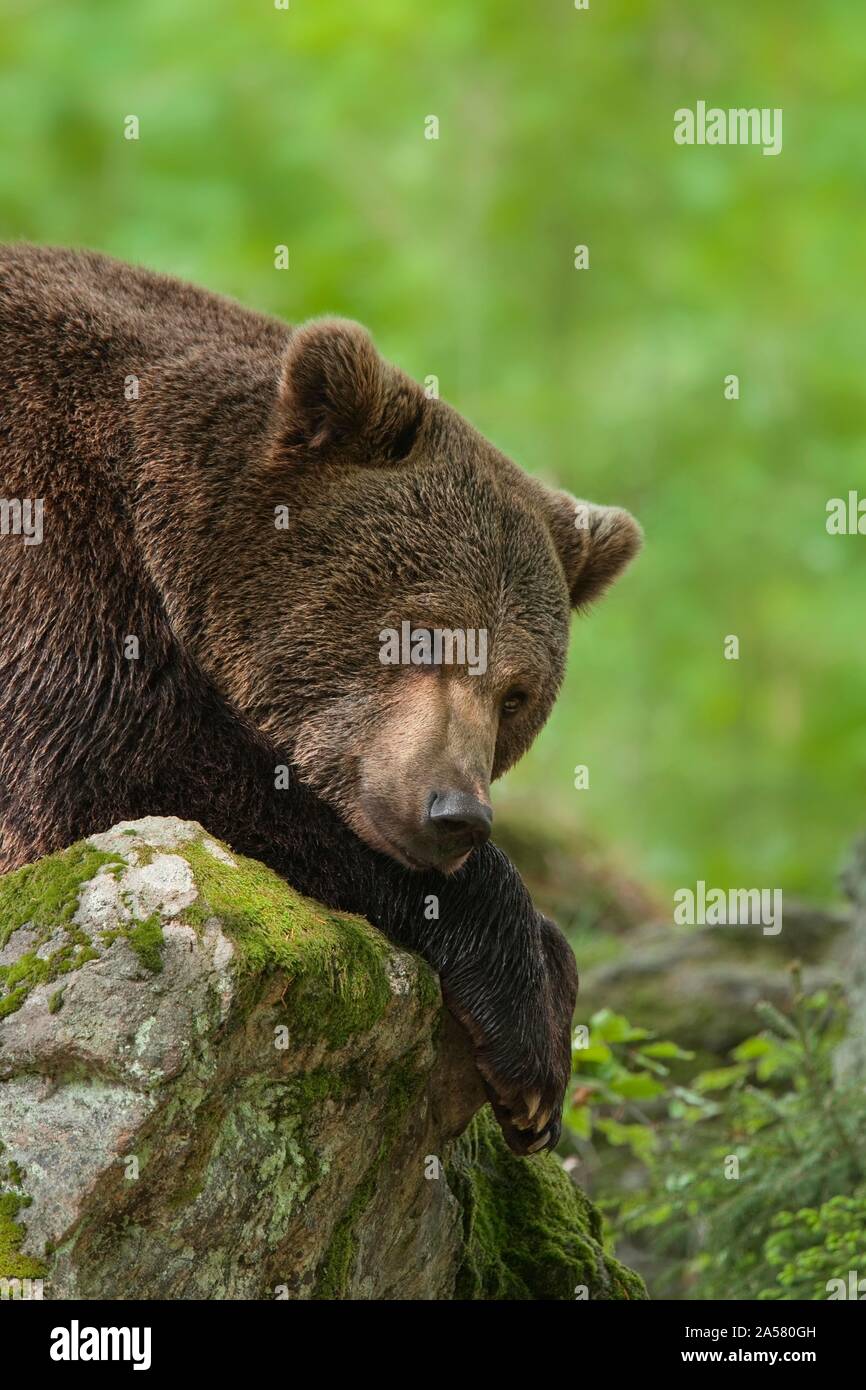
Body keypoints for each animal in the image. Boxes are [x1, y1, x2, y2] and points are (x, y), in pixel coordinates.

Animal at [0, 244, 641, 1154]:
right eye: (421, 636)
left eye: (518, 693)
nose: (456, 812)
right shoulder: (47, 548)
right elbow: (120, 781)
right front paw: (532, 1015)